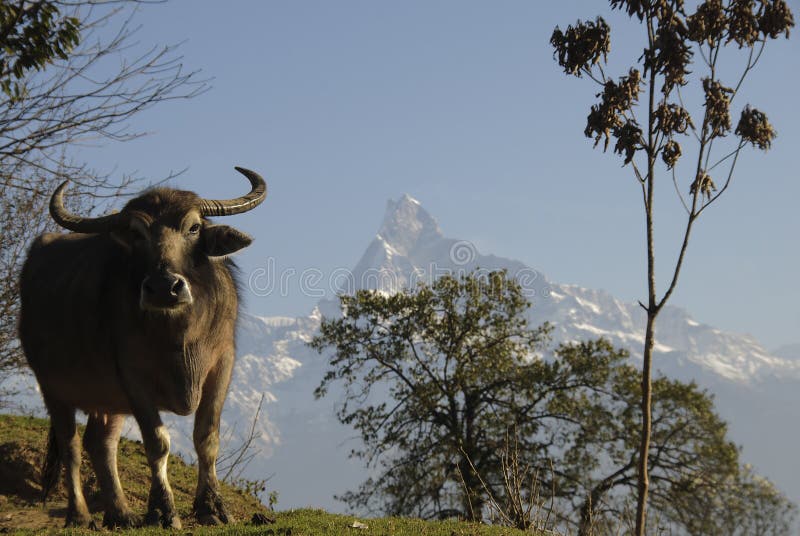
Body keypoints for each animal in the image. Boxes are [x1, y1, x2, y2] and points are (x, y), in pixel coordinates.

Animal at [18, 167, 266, 528]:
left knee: (101, 443)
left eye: (193, 227)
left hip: (106, 398)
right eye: (137, 234)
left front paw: (212, 508)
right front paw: (162, 510)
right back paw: (80, 514)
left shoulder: (222, 364)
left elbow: (207, 437)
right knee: (71, 445)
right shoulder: (133, 377)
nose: (164, 288)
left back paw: (121, 513)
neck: (179, 337)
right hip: (52, 387)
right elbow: (157, 442)